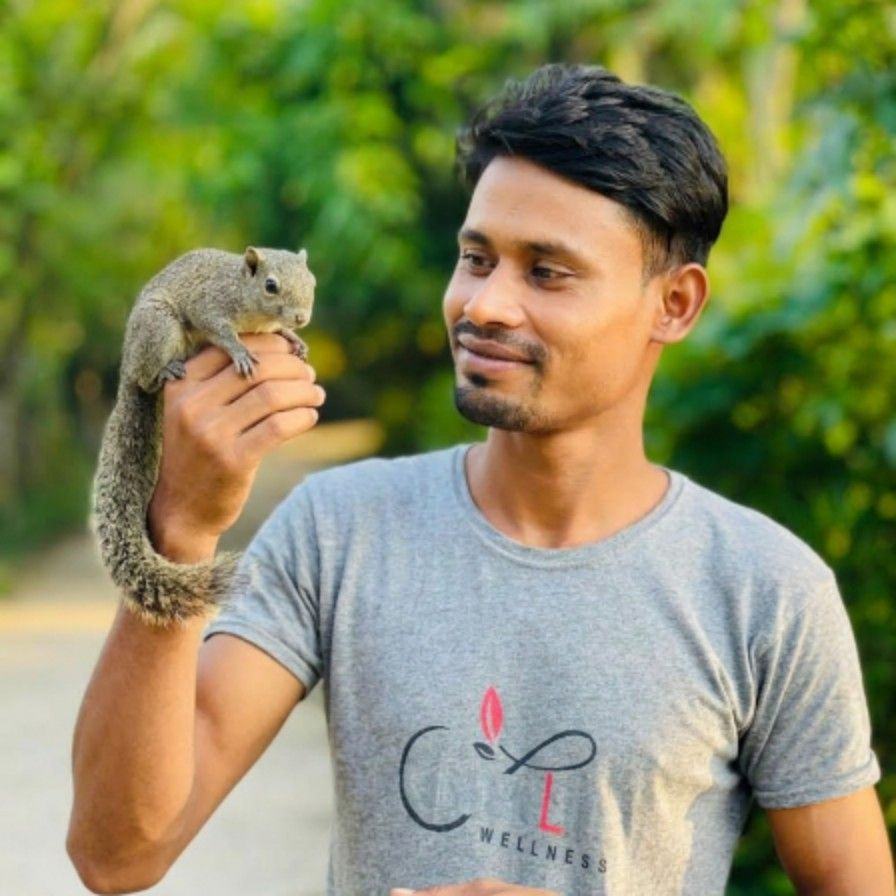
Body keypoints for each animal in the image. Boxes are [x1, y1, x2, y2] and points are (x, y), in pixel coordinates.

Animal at [88, 245, 316, 629]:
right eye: (270, 286)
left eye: (311, 281)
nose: (300, 318)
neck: (243, 294)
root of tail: (127, 367)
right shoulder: (209, 304)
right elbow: (219, 331)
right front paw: (239, 351)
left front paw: (294, 340)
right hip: (159, 328)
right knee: (147, 376)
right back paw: (164, 371)